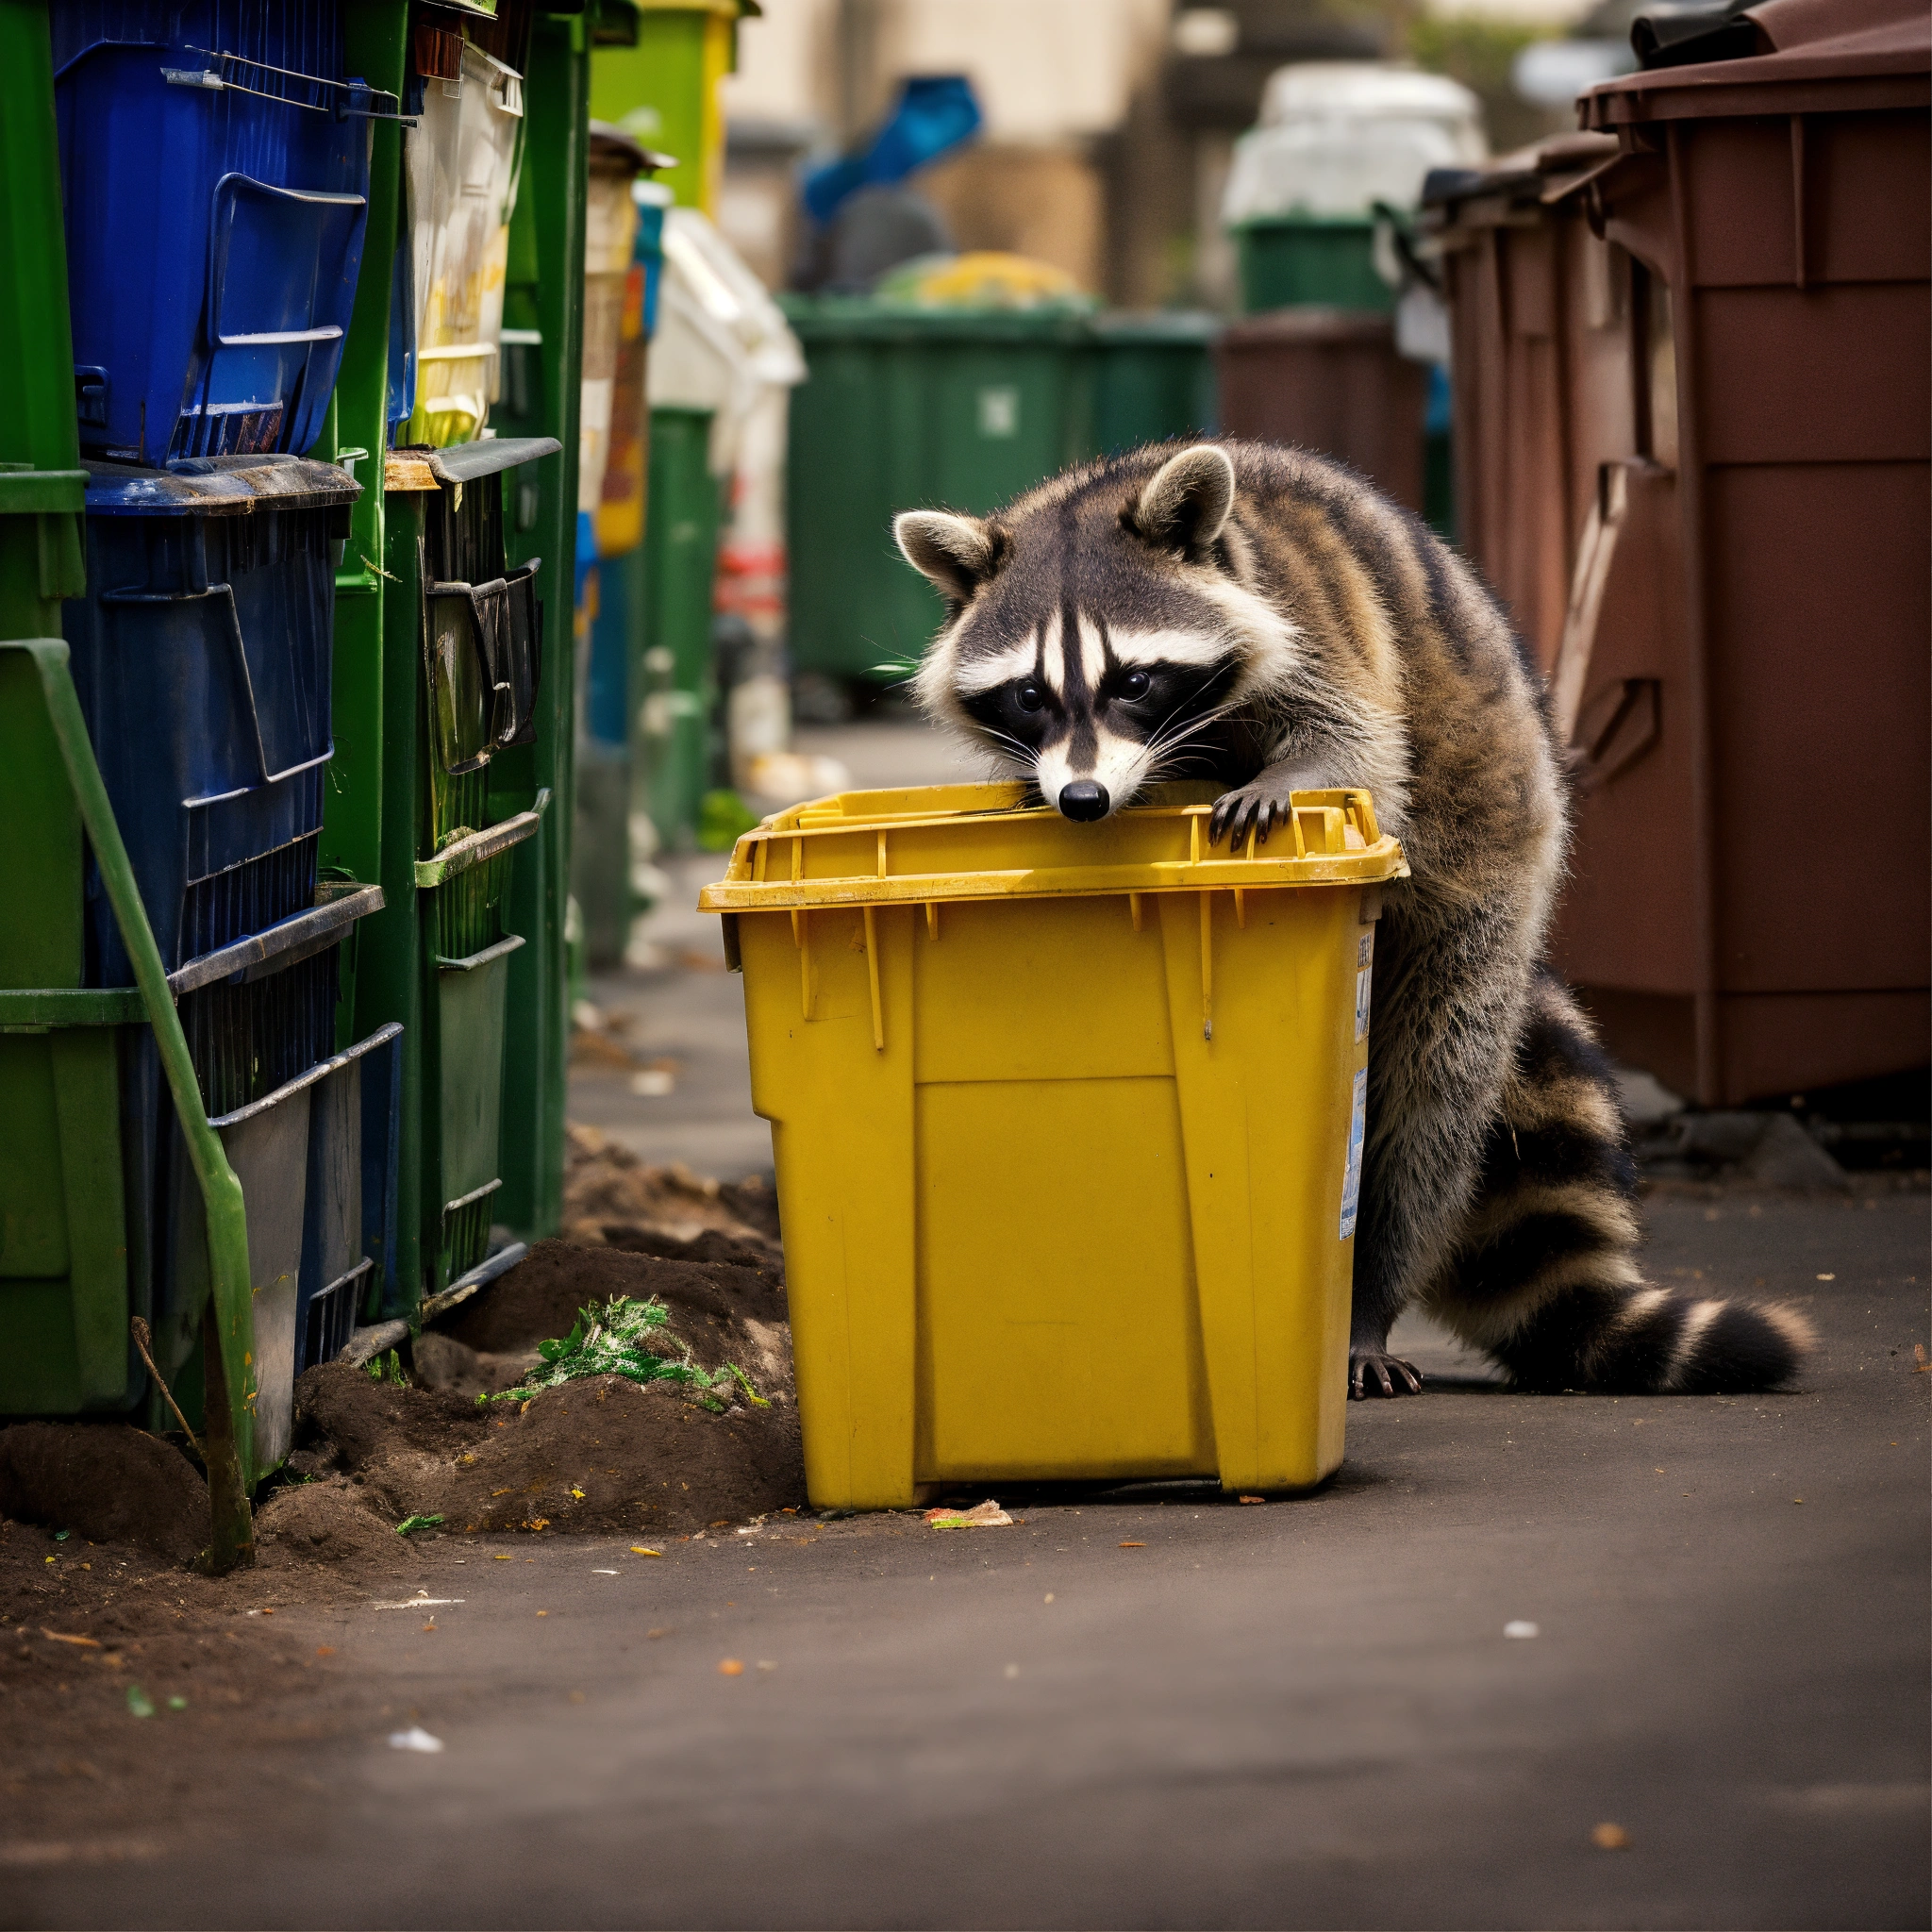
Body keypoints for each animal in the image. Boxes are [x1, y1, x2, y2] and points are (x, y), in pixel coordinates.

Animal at [895, 440, 1814, 1398]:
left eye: (1135, 682)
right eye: (1030, 697)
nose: (1082, 799)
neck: (1085, 500)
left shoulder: (1312, 614)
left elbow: (1360, 740)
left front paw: (1287, 779)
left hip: (1493, 850)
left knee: (1434, 1091)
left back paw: (1367, 1294)